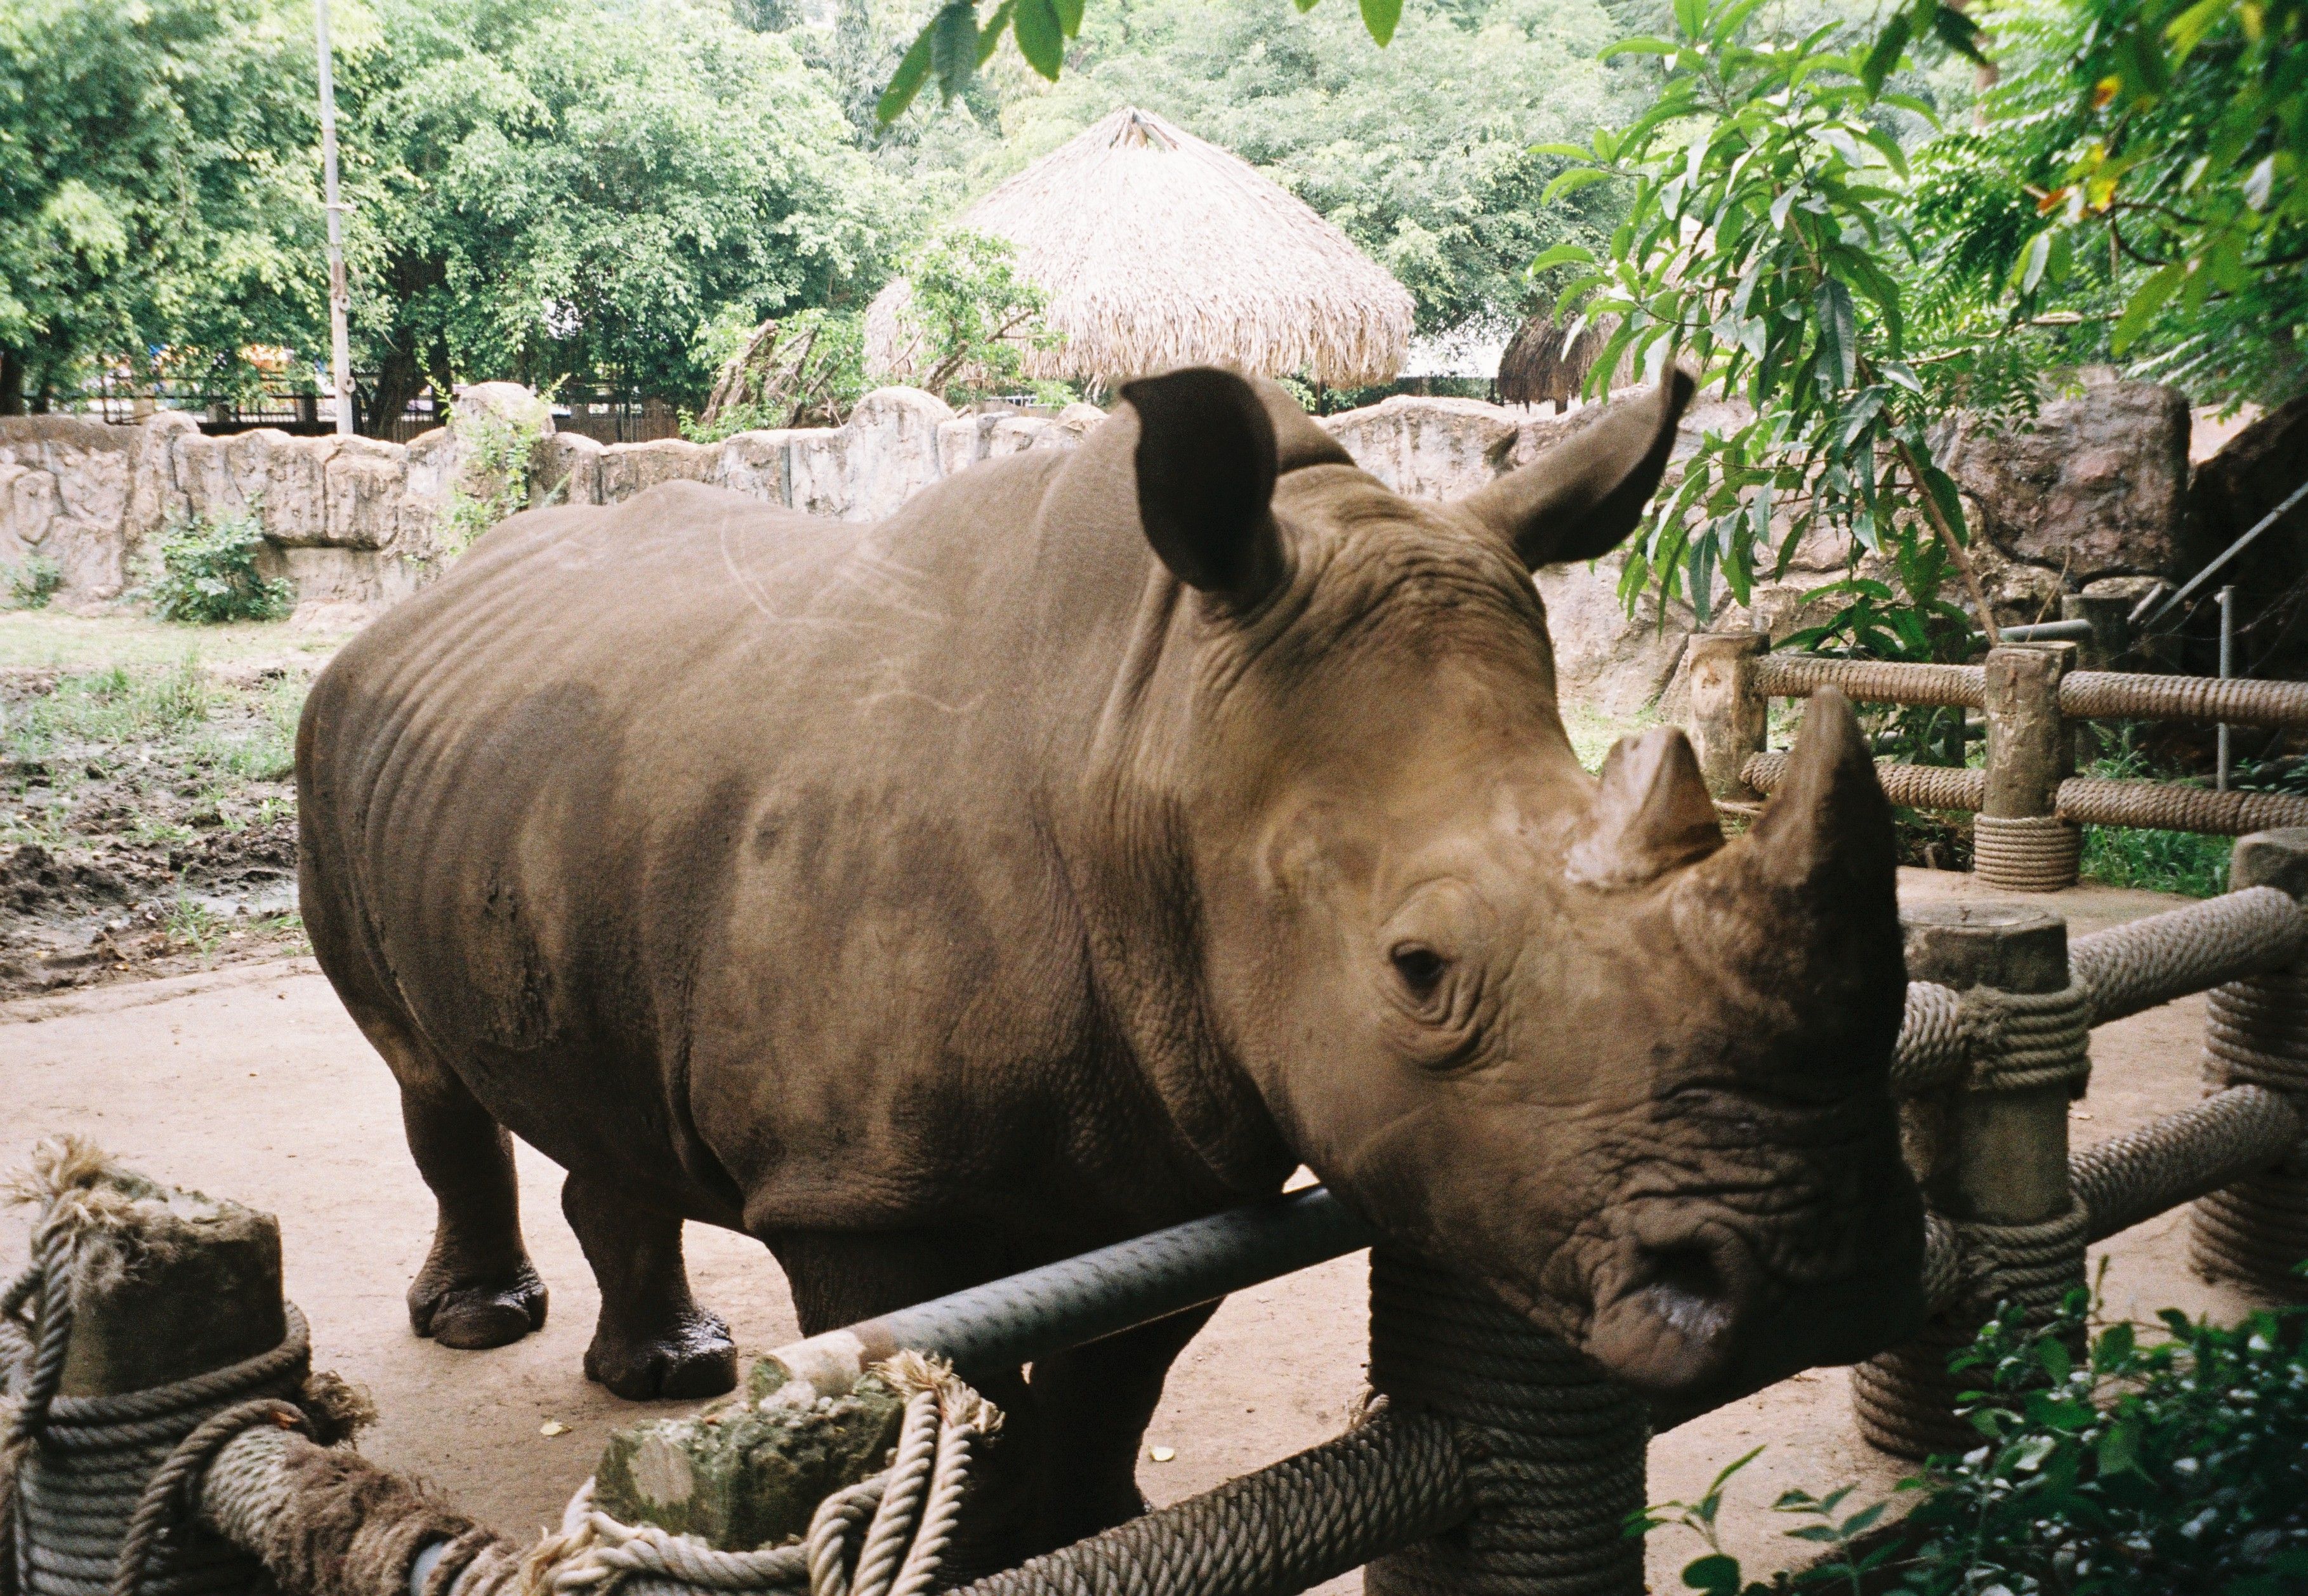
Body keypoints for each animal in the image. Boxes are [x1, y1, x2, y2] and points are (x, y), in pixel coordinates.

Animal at [298, 367, 1922, 1548]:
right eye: (1416, 968)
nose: (1812, 1274)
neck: (1158, 719)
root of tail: (424, 598)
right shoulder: (856, 1190)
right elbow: (951, 1378)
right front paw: (975, 1544)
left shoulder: (1188, 1125)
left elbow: (1124, 1362)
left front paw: (1086, 1523)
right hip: (339, 736)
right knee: (419, 1071)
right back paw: (490, 1328)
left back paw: (673, 1373)